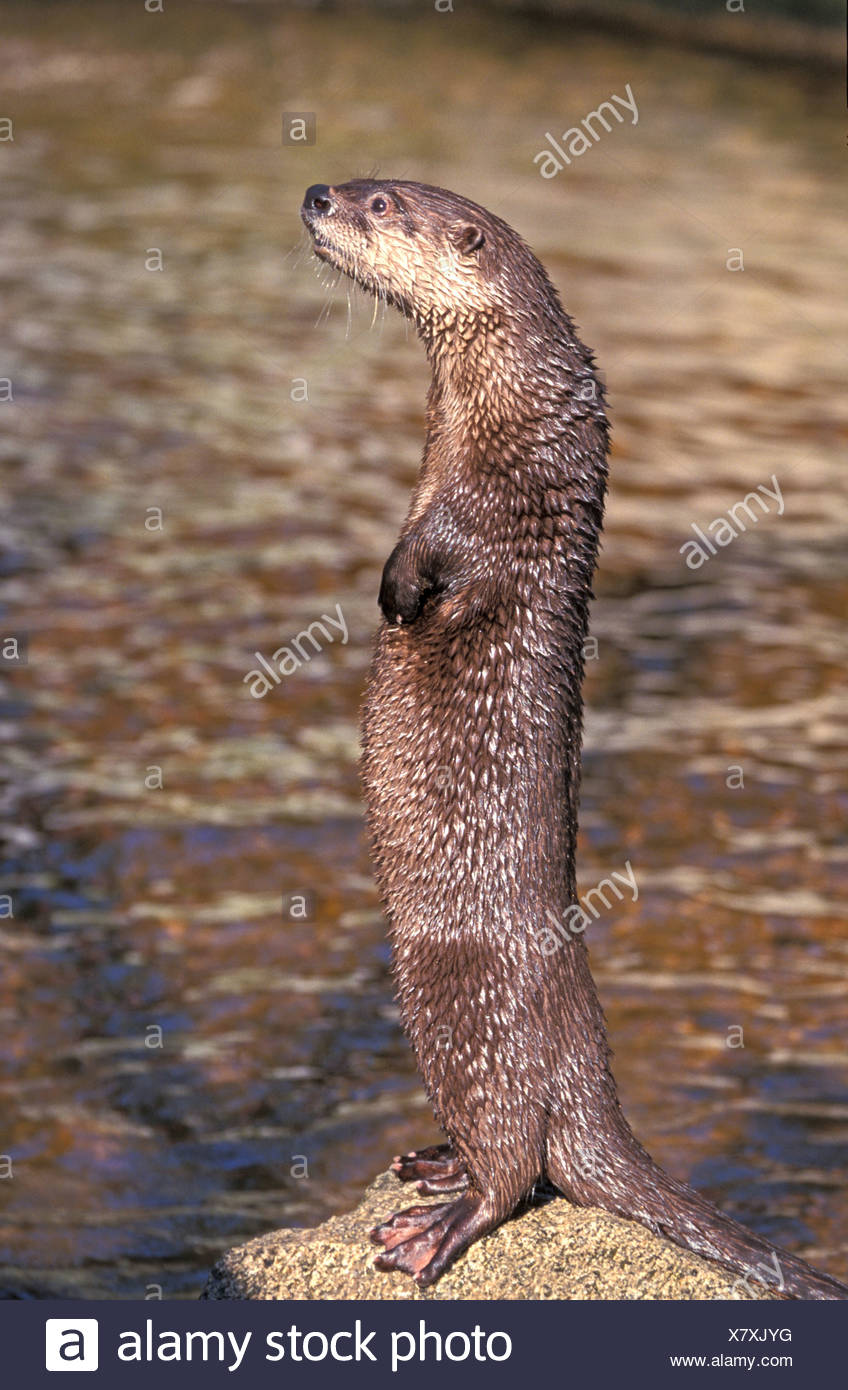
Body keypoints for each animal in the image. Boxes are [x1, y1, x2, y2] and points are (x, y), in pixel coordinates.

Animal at [300, 178, 847, 1298]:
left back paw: (435, 1226)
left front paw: (393, 596)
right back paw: (429, 1161)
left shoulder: (497, 500)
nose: (316, 192)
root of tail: (586, 1077)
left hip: (456, 1008)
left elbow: (435, 559)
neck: (504, 412)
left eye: (382, 201)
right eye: (358, 181)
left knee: (516, 1165)